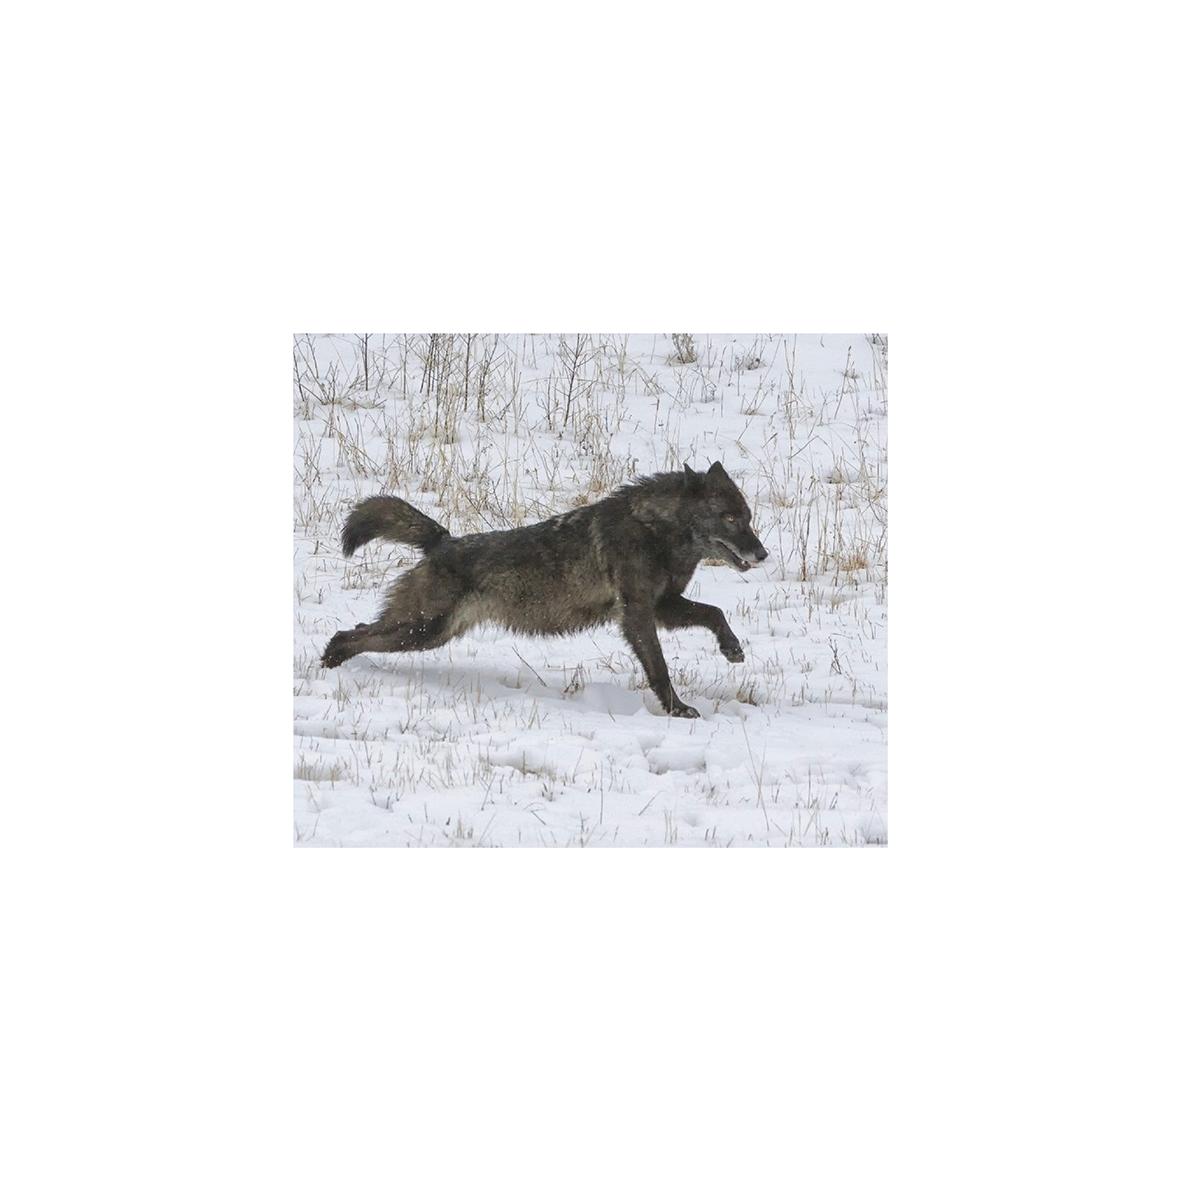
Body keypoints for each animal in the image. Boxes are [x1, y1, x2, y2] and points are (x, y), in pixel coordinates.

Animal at [321, 461, 769, 717]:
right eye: (729, 518)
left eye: (747, 516)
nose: (762, 553)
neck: (655, 530)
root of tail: (442, 540)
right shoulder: (639, 613)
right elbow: (659, 669)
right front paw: (678, 710)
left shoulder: (665, 606)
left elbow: (714, 612)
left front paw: (731, 648)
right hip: (421, 630)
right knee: (350, 633)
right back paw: (329, 664)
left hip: (425, 633)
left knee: (359, 629)